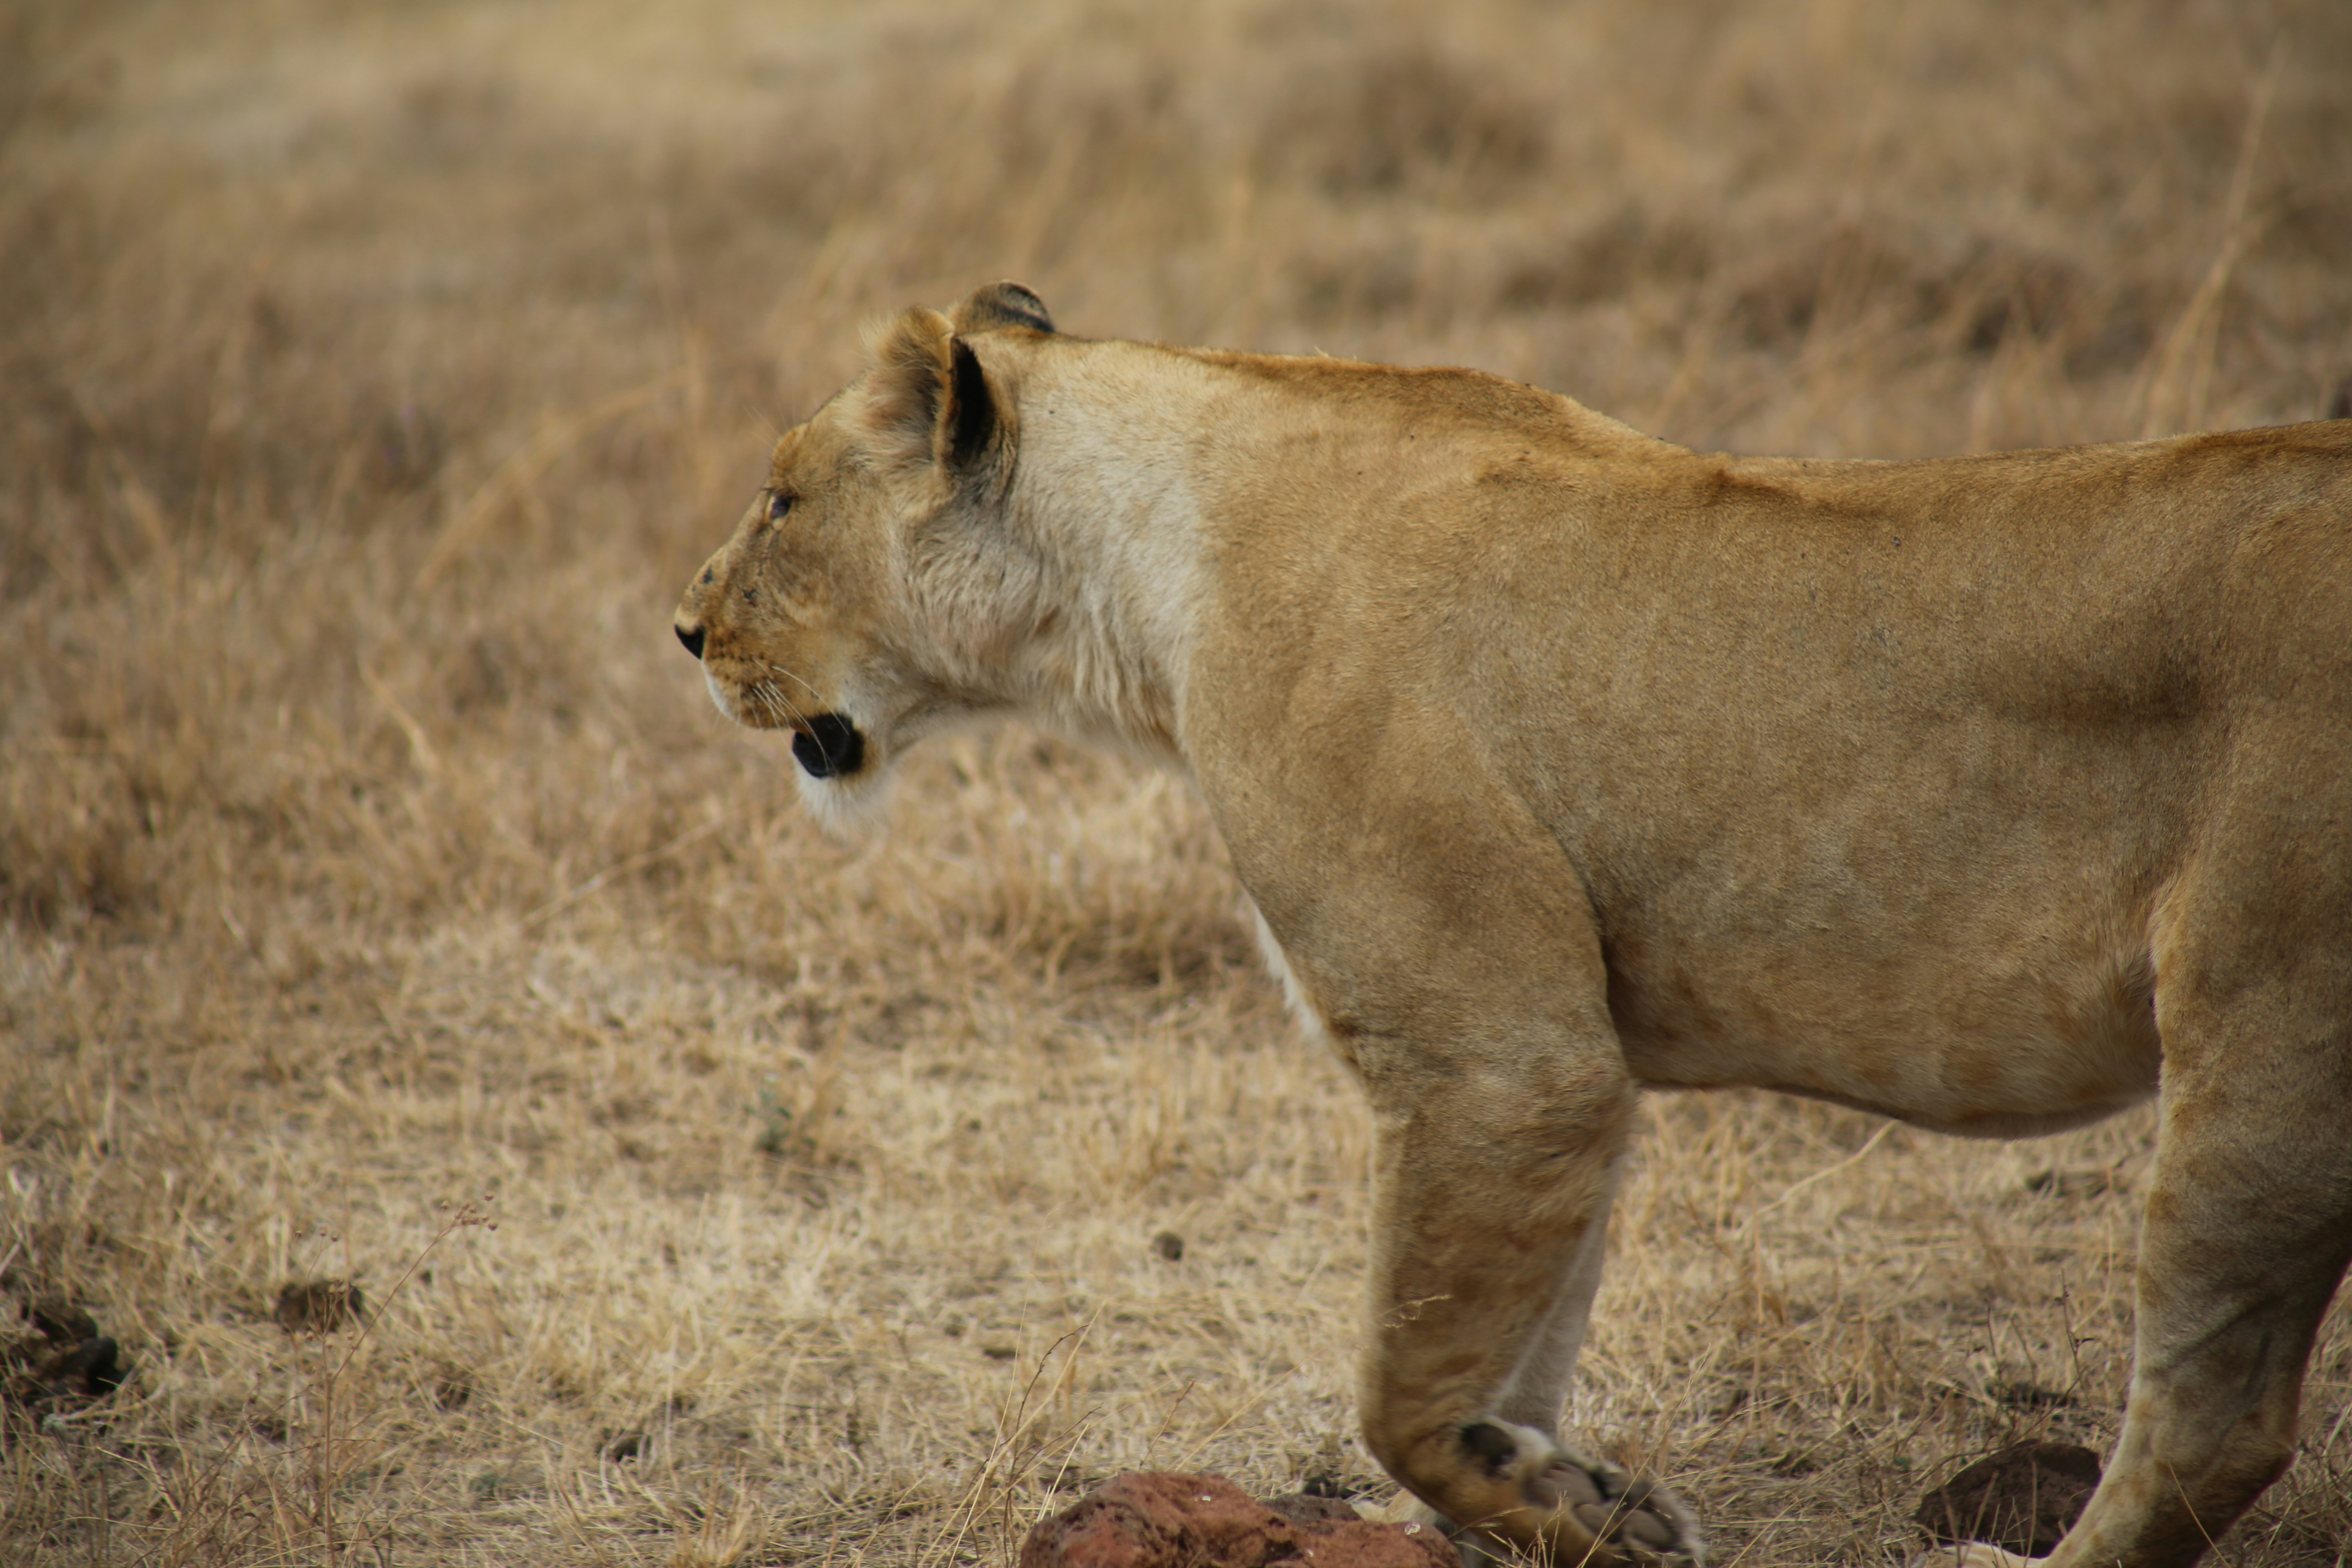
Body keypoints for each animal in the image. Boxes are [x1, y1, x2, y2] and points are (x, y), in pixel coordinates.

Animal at [675, 282, 2352, 1568]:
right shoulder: (1556, 1080)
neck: (1145, 583)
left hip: (2267, 1046)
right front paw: (1558, 1489)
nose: (685, 630)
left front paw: (1583, 1512)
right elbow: (1518, 1343)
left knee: (2215, 1423)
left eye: (781, 498)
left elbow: (1403, 1389)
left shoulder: (1494, 1054)